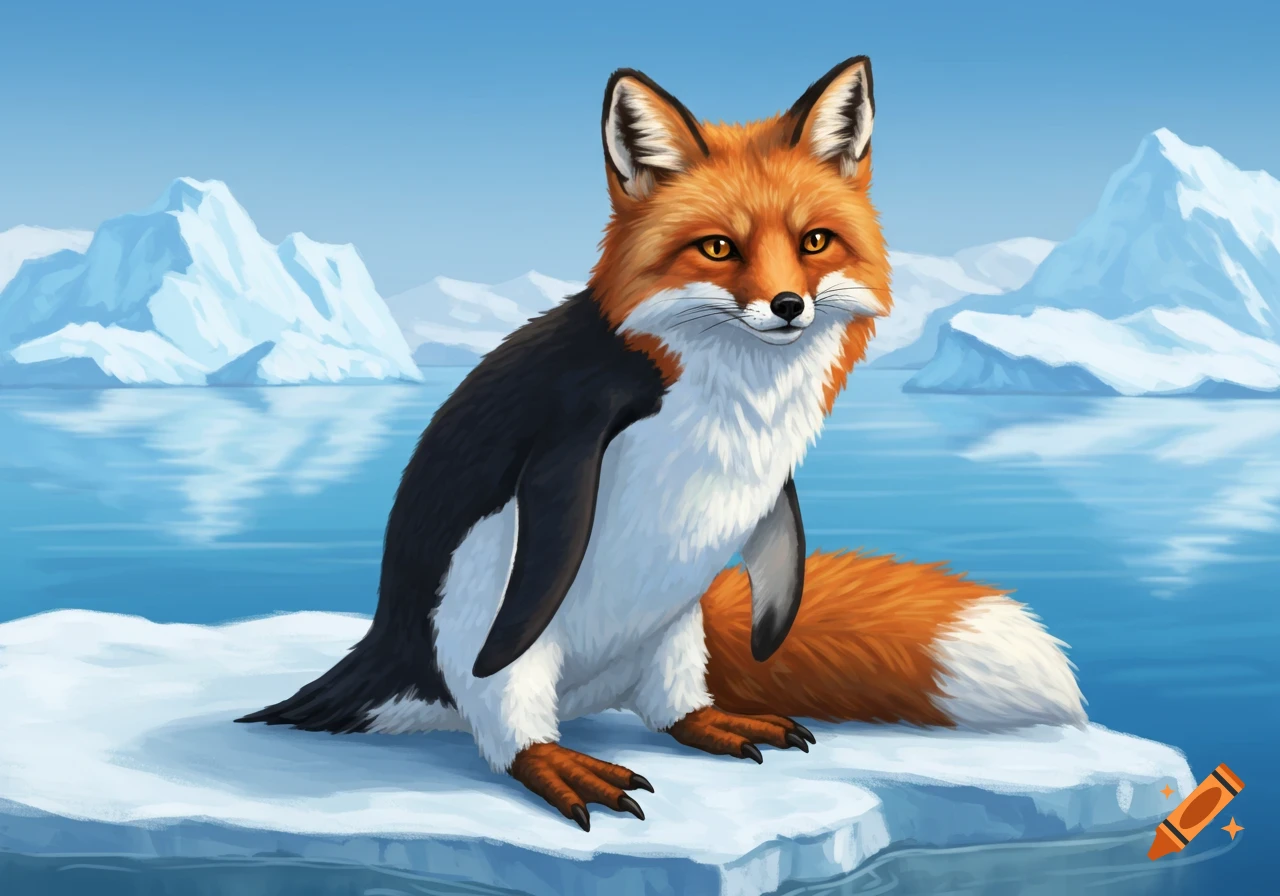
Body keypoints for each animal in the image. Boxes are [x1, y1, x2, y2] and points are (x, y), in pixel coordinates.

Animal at [237, 56, 1086, 831]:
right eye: (718, 248)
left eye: (815, 241)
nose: (788, 305)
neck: (734, 398)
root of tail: (386, 655)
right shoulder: (569, 434)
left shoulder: (769, 485)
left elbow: (783, 561)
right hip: (486, 619)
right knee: (511, 721)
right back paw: (562, 765)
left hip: (674, 628)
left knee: (672, 708)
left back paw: (717, 722)